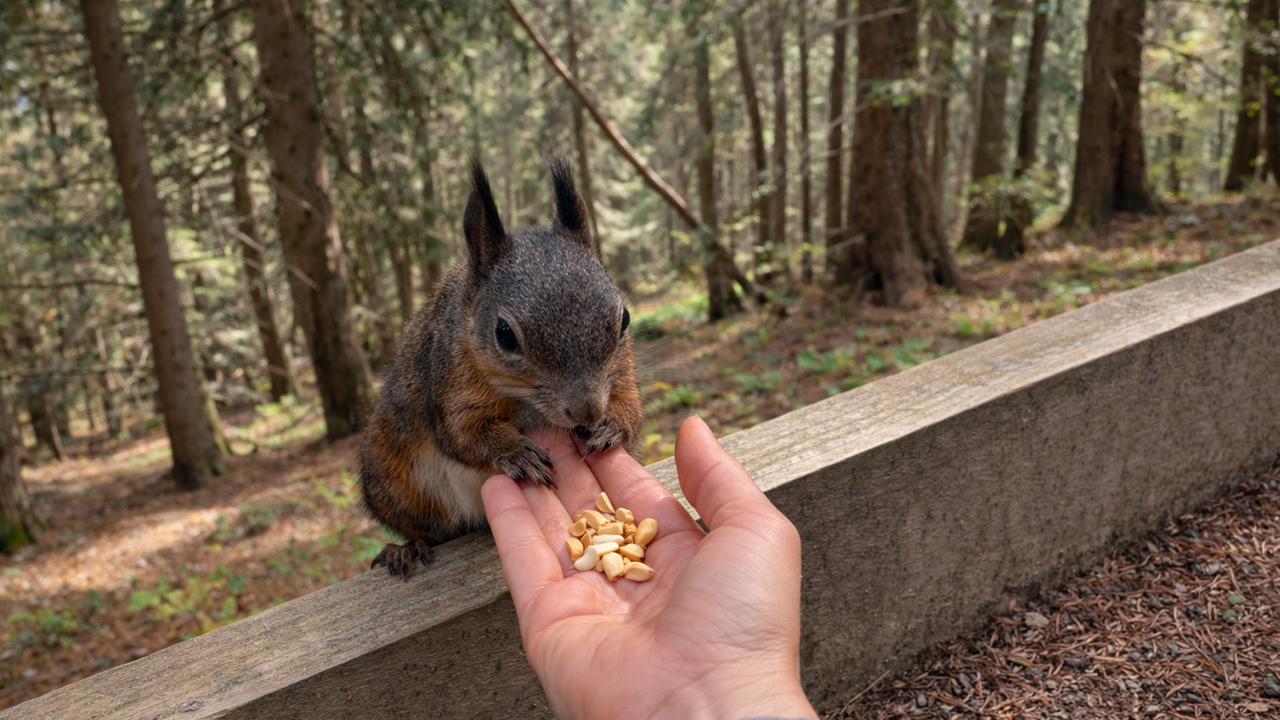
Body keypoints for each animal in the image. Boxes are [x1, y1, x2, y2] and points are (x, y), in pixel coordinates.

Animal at [359, 153, 644, 577]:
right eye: (505, 334)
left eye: (623, 318)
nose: (588, 413)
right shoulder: (451, 380)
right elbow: (462, 433)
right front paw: (515, 452)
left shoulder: (620, 370)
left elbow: (630, 403)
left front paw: (613, 425)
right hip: (389, 474)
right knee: (421, 527)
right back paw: (405, 548)